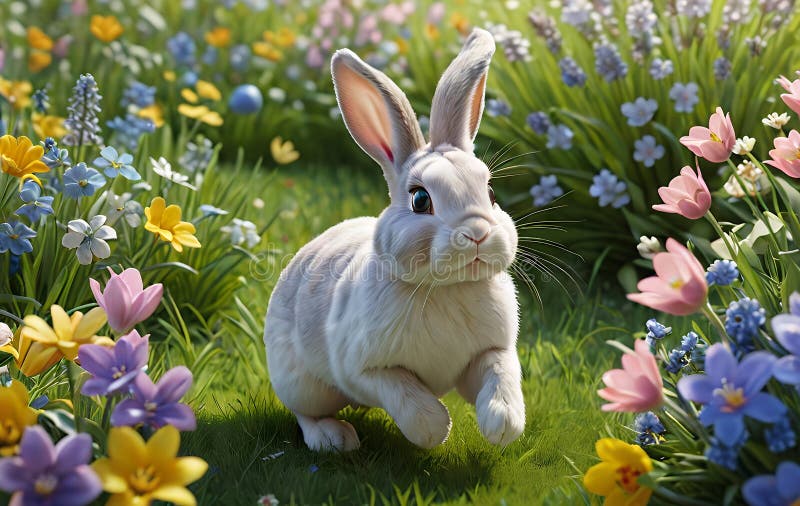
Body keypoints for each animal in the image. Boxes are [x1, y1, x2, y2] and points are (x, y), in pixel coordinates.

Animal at [263, 28, 525, 452]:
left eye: (490, 193)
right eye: (420, 200)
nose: (478, 233)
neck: (445, 288)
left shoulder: (492, 351)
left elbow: (500, 375)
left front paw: (502, 425)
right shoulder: (366, 369)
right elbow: (409, 400)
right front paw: (437, 431)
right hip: (304, 384)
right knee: (305, 412)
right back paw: (334, 438)